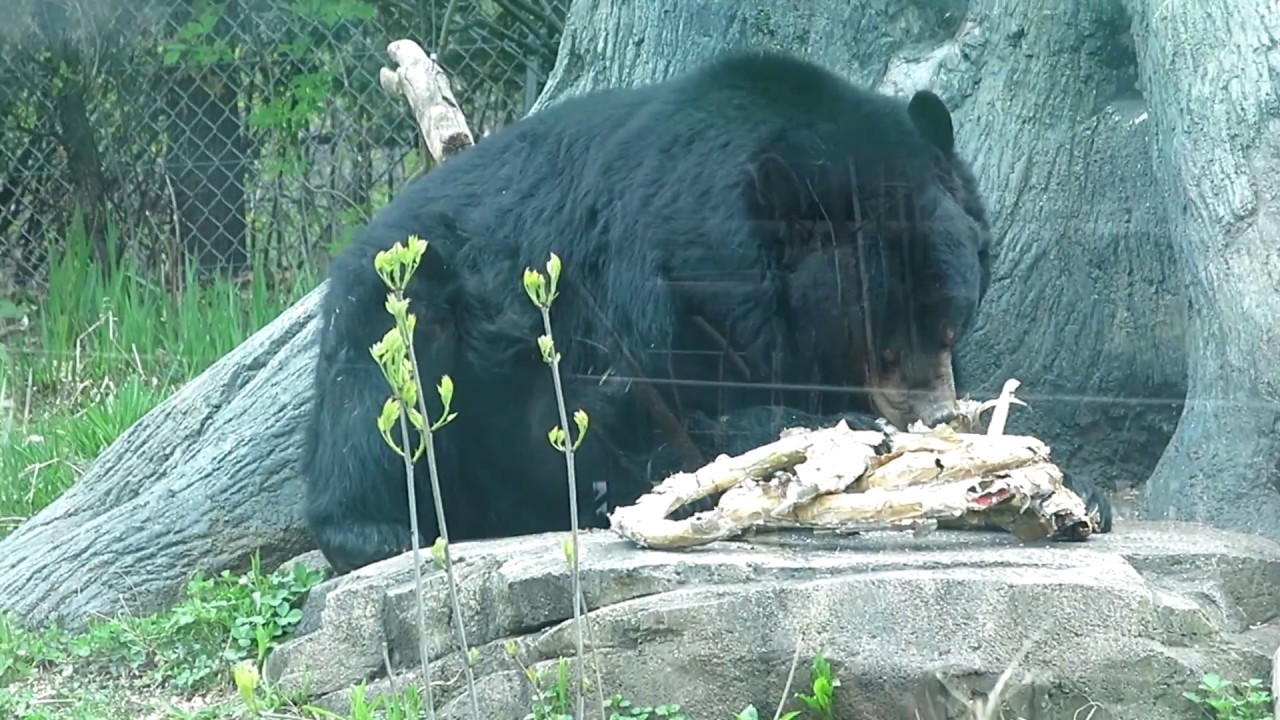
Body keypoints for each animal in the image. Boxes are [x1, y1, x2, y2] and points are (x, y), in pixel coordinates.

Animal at [300, 49, 1112, 575]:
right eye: (881, 343)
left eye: (951, 322)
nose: (932, 412)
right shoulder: (654, 286)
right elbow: (655, 414)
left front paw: (1062, 482)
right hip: (407, 305)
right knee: (378, 403)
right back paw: (378, 528)